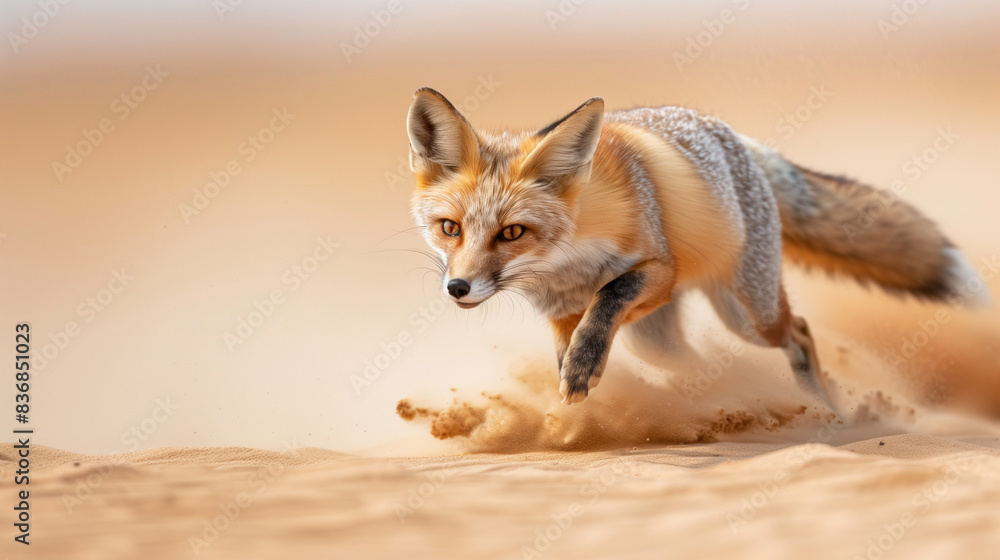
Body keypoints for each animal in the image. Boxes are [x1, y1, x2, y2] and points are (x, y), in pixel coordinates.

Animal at [405, 87, 992, 412]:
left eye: (511, 233)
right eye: (450, 228)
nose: (457, 287)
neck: (566, 264)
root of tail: (739, 140)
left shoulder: (658, 270)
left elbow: (609, 297)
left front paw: (581, 375)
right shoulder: (562, 313)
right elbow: (571, 350)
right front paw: (578, 407)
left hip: (748, 315)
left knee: (799, 332)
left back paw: (828, 411)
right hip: (660, 339)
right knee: (694, 363)